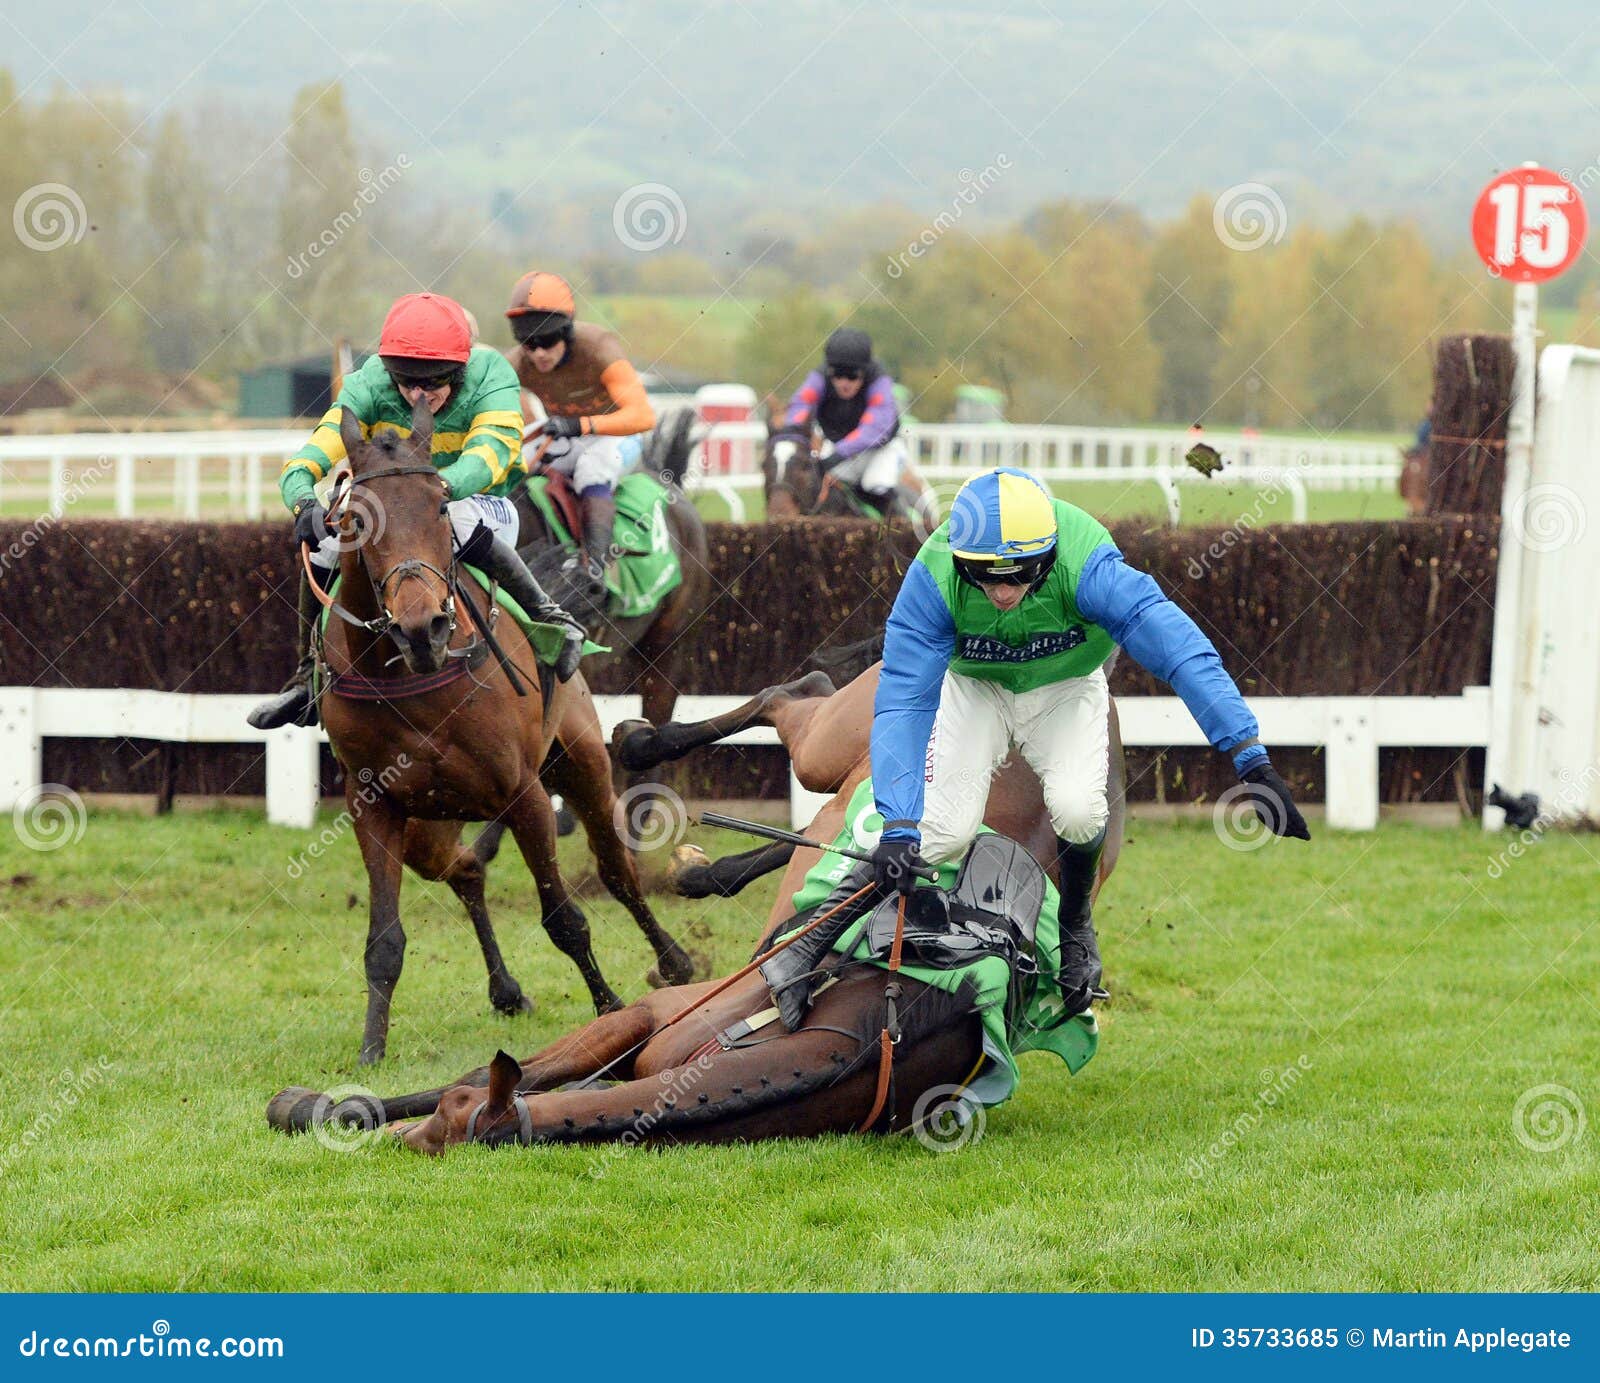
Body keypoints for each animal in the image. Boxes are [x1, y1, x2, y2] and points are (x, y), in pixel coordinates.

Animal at [267, 662, 1125, 1147]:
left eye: (447, 1124)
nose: (407, 1139)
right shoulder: (645, 1017)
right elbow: (515, 1067)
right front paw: (317, 1104)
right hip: (840, 739)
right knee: (798, 696)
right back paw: (649, 746)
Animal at [313, 398, 694, 1065]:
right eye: (354, 520)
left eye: (441, 505)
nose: (423, 628)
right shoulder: (373, 806)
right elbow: (383, 941)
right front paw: (371, 1050)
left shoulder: (525, 794)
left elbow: (564, 919)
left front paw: (610, 1011)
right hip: (429, 827)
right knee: (465, 870)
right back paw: (507, 990)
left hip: (583, 759)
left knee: (616, 869)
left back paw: (671, 960)